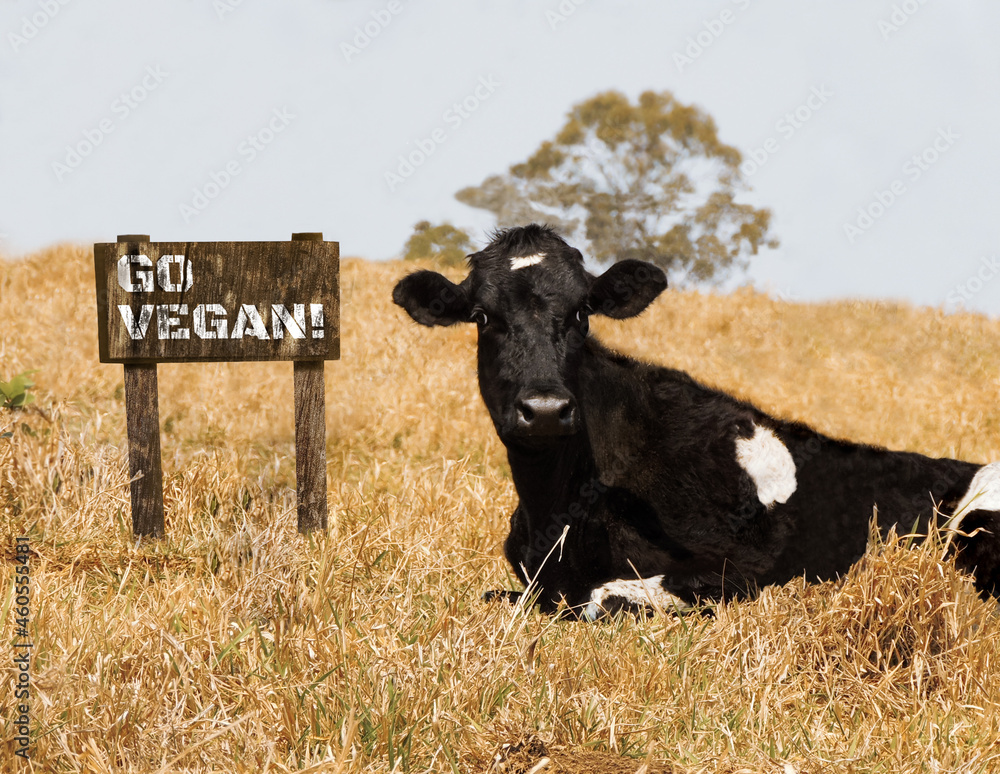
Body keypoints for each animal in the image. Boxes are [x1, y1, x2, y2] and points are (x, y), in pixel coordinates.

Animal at [392, 224, 1000, 619]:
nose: (544, 409)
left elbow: (605, 596)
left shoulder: (750, 565)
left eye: (582, 312)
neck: (558, 512)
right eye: (482, 316)